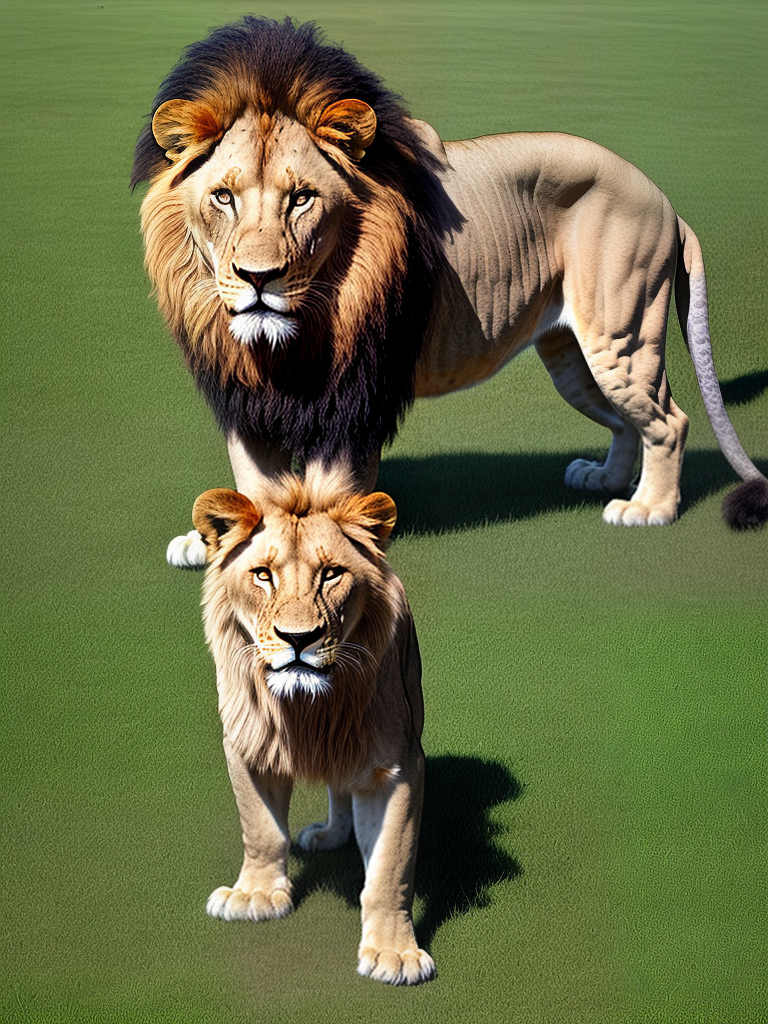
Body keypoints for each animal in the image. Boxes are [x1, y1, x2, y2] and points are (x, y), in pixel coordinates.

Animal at [132, 16, 767, 557]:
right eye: (223, 197)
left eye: (302, 198)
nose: (258, 278)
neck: (295, 334)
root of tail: (665, 202)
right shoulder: (244, 397)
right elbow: (254, 482)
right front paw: (215, 541)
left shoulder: (355, 397)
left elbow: (330, 490)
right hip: (574, 353)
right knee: (627, 420)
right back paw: (607, 478)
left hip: (622, 331)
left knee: (668, 420)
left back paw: (649, 508)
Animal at [190, 466, 435, 985]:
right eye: (263, 574)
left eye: (332, 573)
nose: (298, 639)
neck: (309, 710)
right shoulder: (246, 746)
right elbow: (260, 829)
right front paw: (256, 895)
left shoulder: (399, 766)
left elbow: (390, 868)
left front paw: (394, 953)